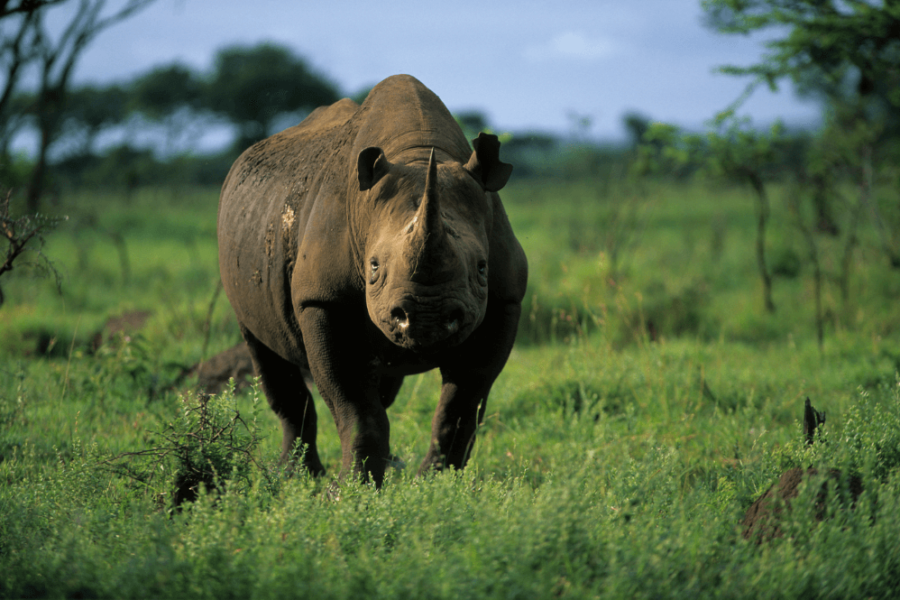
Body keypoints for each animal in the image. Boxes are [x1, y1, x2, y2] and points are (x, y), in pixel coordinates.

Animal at [217, 74, 527, 487]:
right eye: (374, 267)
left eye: (481, 268)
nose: (426, 319)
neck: (420, 153)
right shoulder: (323, 299)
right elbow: (354, 403)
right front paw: (353, 488)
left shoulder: (504, 299)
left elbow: (462, 403)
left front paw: (436, 484)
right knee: (264, 350)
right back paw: (297, 478)